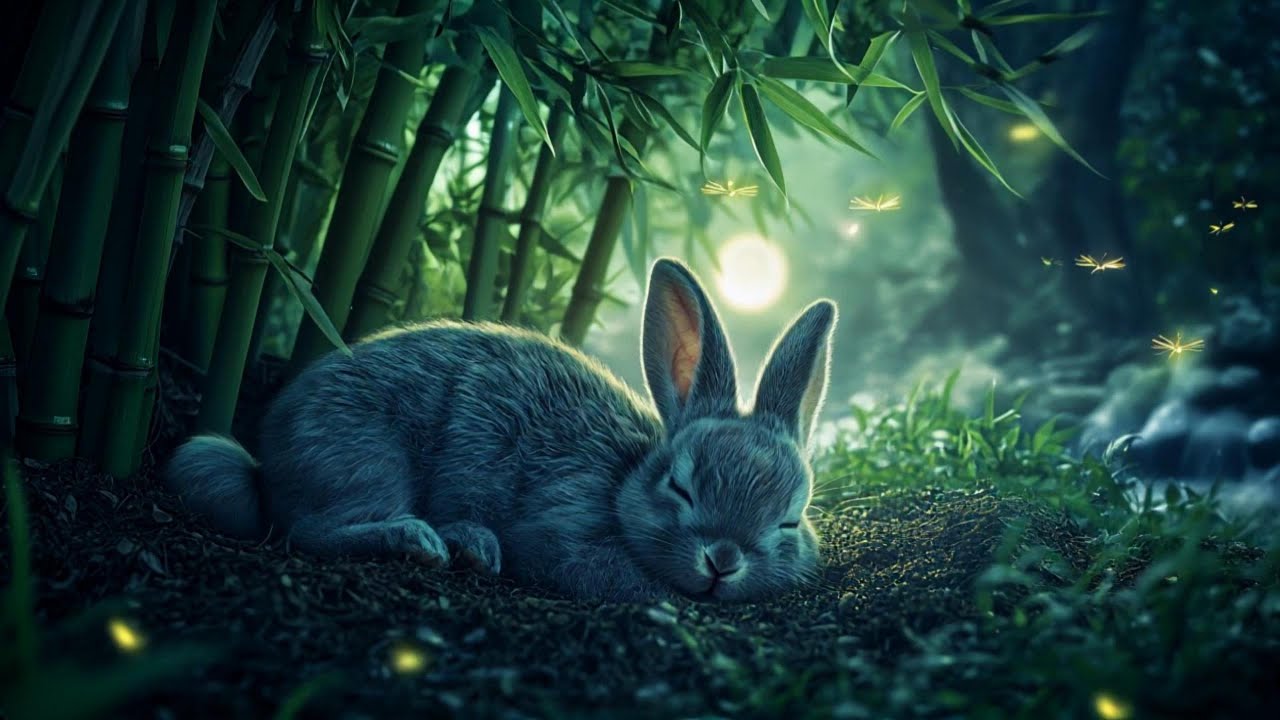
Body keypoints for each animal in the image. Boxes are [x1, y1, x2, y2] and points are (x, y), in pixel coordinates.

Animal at [166, 258, 837, 602]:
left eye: (789, 521)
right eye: (680, 489)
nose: (722, 560)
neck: (621, 484)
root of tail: (265, 460)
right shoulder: (563, 528)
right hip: (365, 457)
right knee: (309, 529)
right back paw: (426, 541)